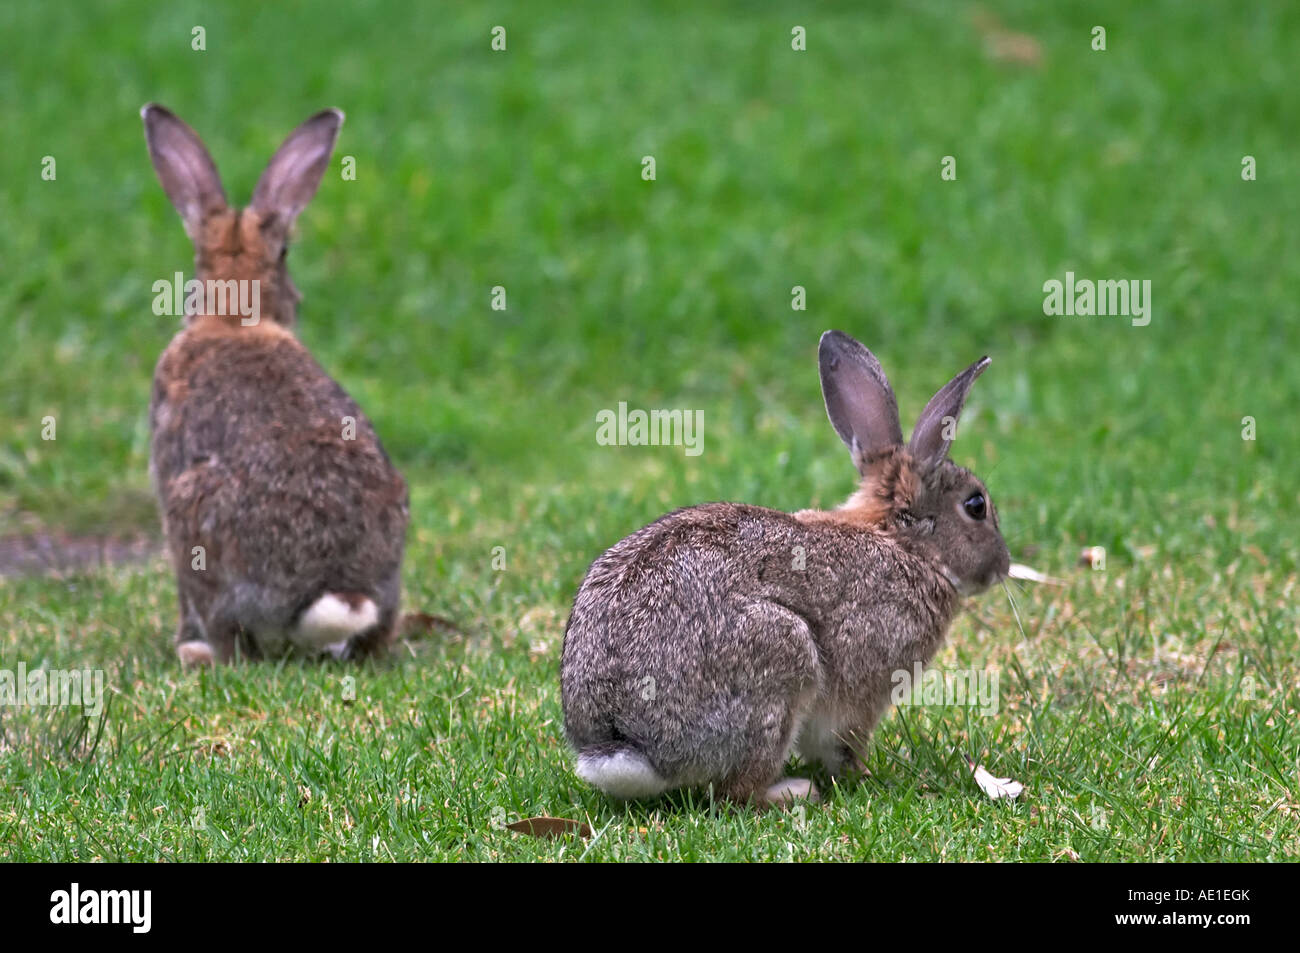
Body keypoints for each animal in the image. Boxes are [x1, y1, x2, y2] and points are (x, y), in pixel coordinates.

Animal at [140, 104, 409, 666]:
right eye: (284, 253)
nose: (297, 301)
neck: (234, 318)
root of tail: (329, 588)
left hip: (192, 520)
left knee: (230, 639)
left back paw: (196, 653)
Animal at [561, 330, 1010, 806]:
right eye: (976, 506)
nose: (1004, 566)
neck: (901, 542)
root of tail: (624, 742)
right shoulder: (861, 695)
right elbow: (844, 744)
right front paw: (865, 776)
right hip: (781, 660)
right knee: (737, 791)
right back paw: (794, 791)